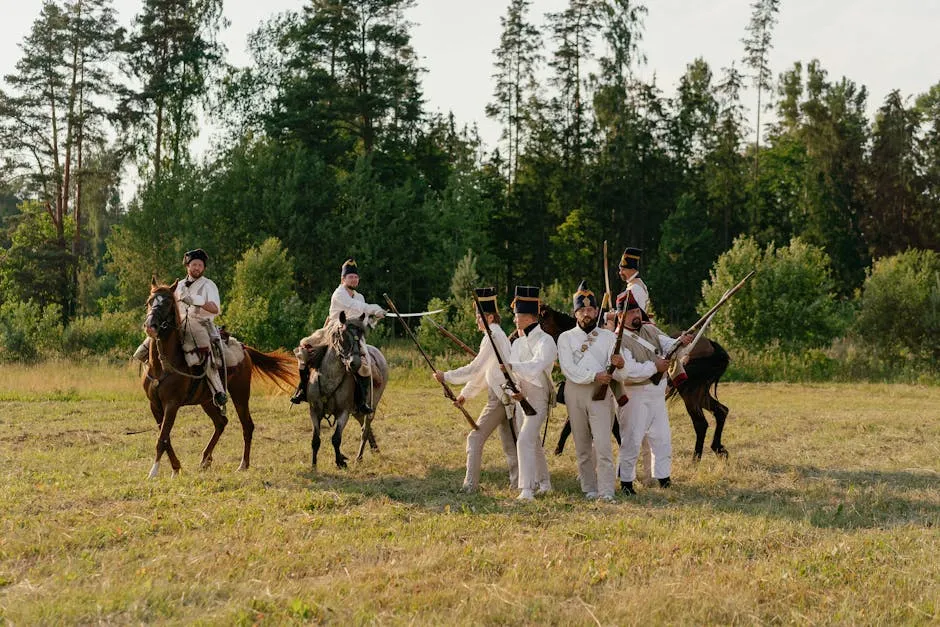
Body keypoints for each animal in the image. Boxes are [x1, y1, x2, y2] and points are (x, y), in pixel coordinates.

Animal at [141, 280, 296, 480]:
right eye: (149, 301)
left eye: (168, 302)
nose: (150, 326)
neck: (163, 365)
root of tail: (244, 348)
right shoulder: (155, 405)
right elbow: (165, 437)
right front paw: (176, 468)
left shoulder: (172, 404)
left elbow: (162, 438)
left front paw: (154, 472)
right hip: (207, 400)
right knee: (221, 422)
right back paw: (205, 459)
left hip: (240, 395)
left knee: (247, 426)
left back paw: (243, 464)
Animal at [536, 304, 736, 462]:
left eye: (539, 322)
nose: (519, 335)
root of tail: (711, 345)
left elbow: (573, 426)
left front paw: (557, 451)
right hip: (699, 391)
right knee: (721, 411)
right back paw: (718, 448)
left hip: (689, 391)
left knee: (701, 423)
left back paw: (696, 457)